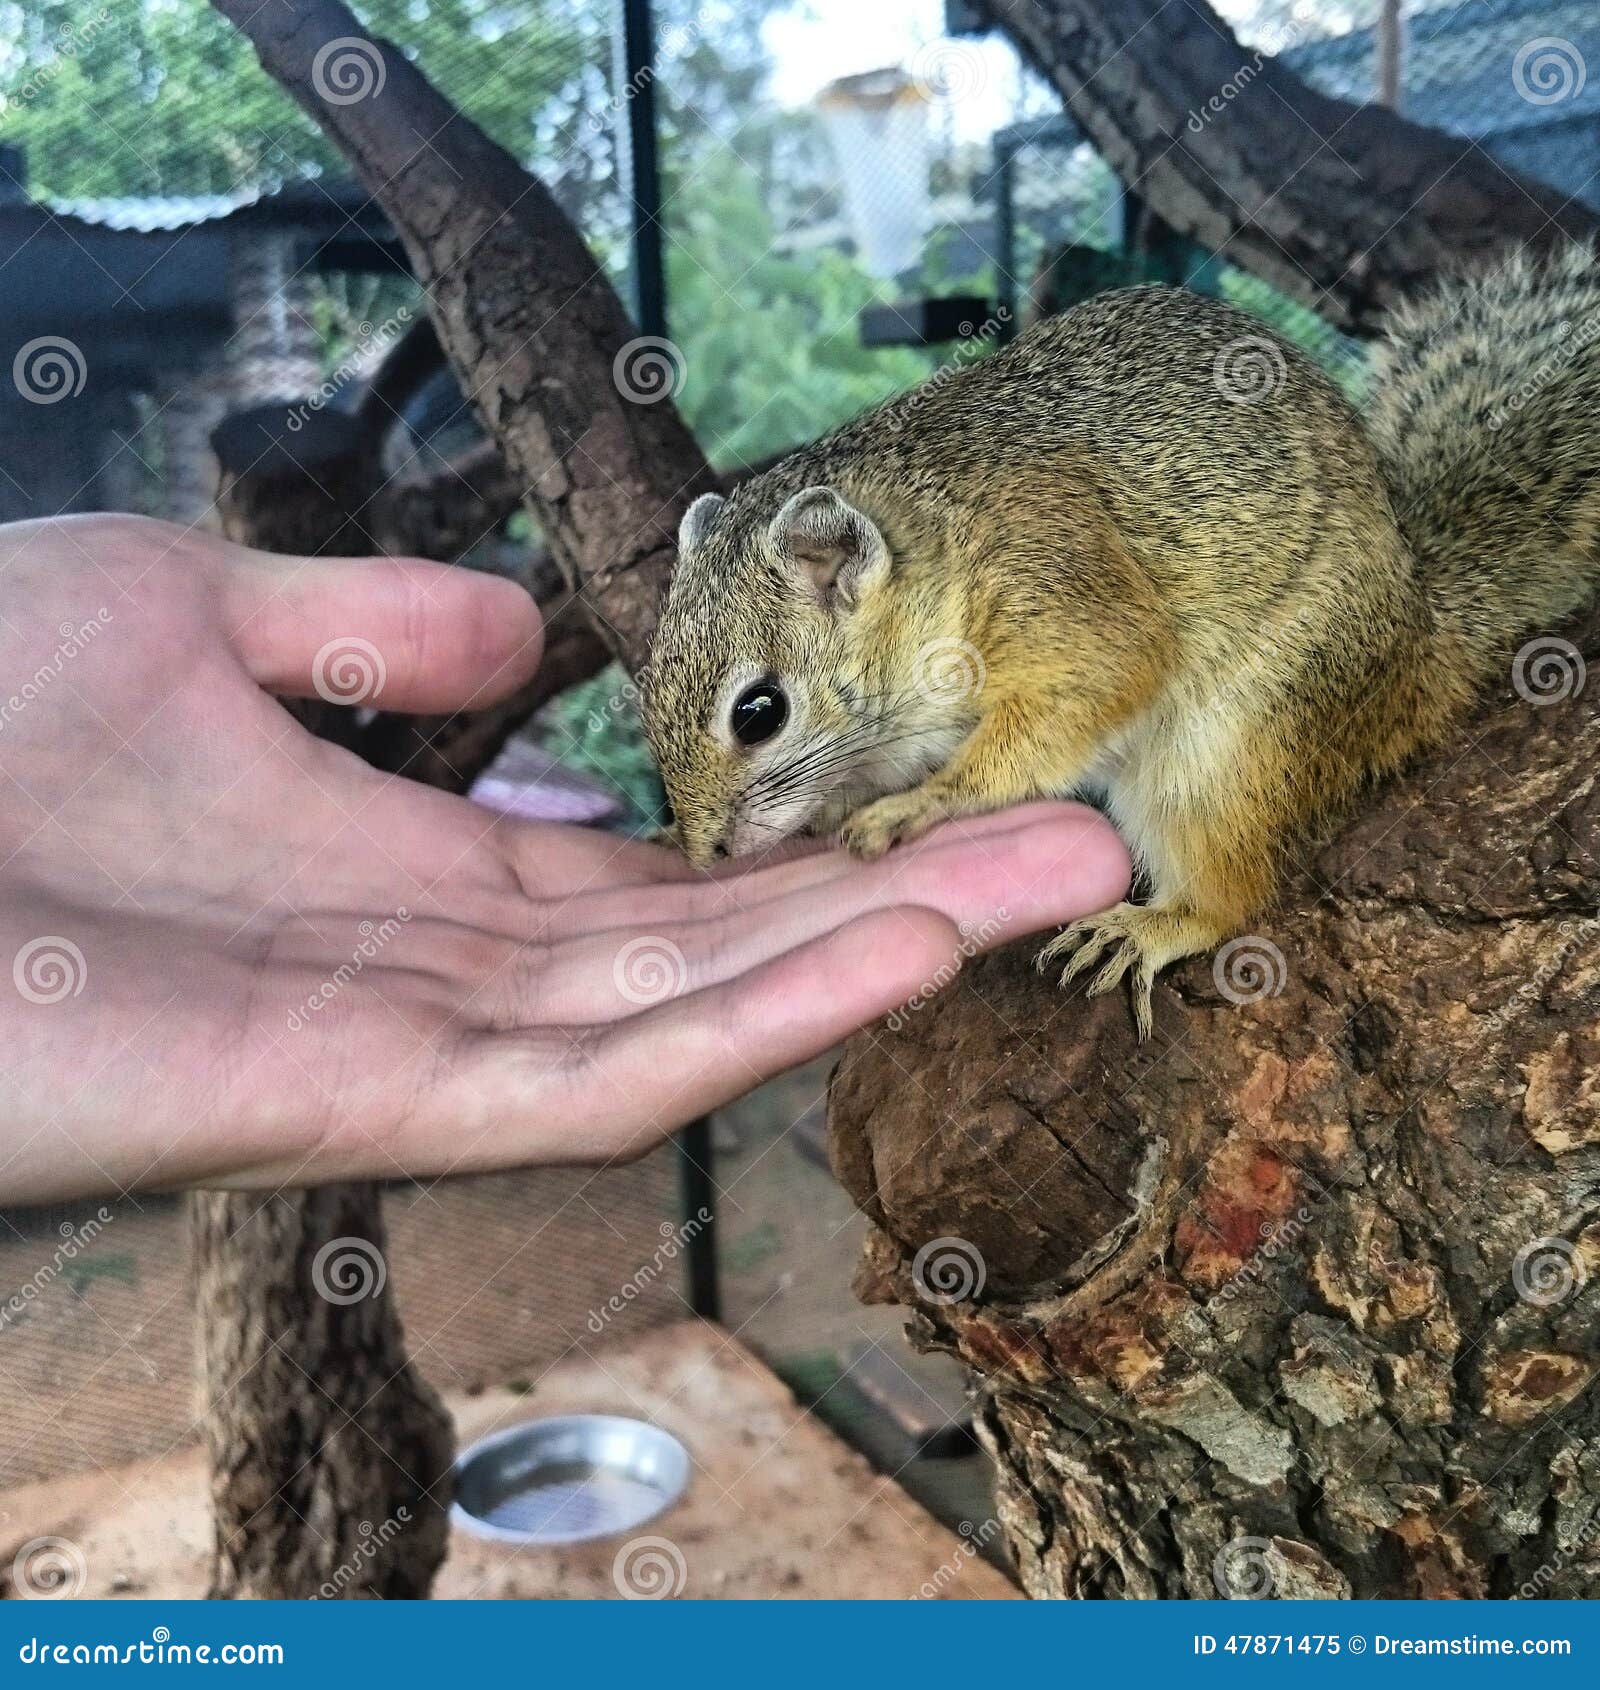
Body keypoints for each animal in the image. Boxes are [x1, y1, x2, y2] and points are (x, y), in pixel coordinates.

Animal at [642, 247, 1600, 1037]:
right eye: (646, 691)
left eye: (759, 712)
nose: (705, 854)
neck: (932, 547)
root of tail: (1417, 650)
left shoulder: (1055, 577)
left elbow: (1095, 681)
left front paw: (927, 803)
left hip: (1234, 745)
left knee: (1233, 887)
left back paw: (1156, 926)